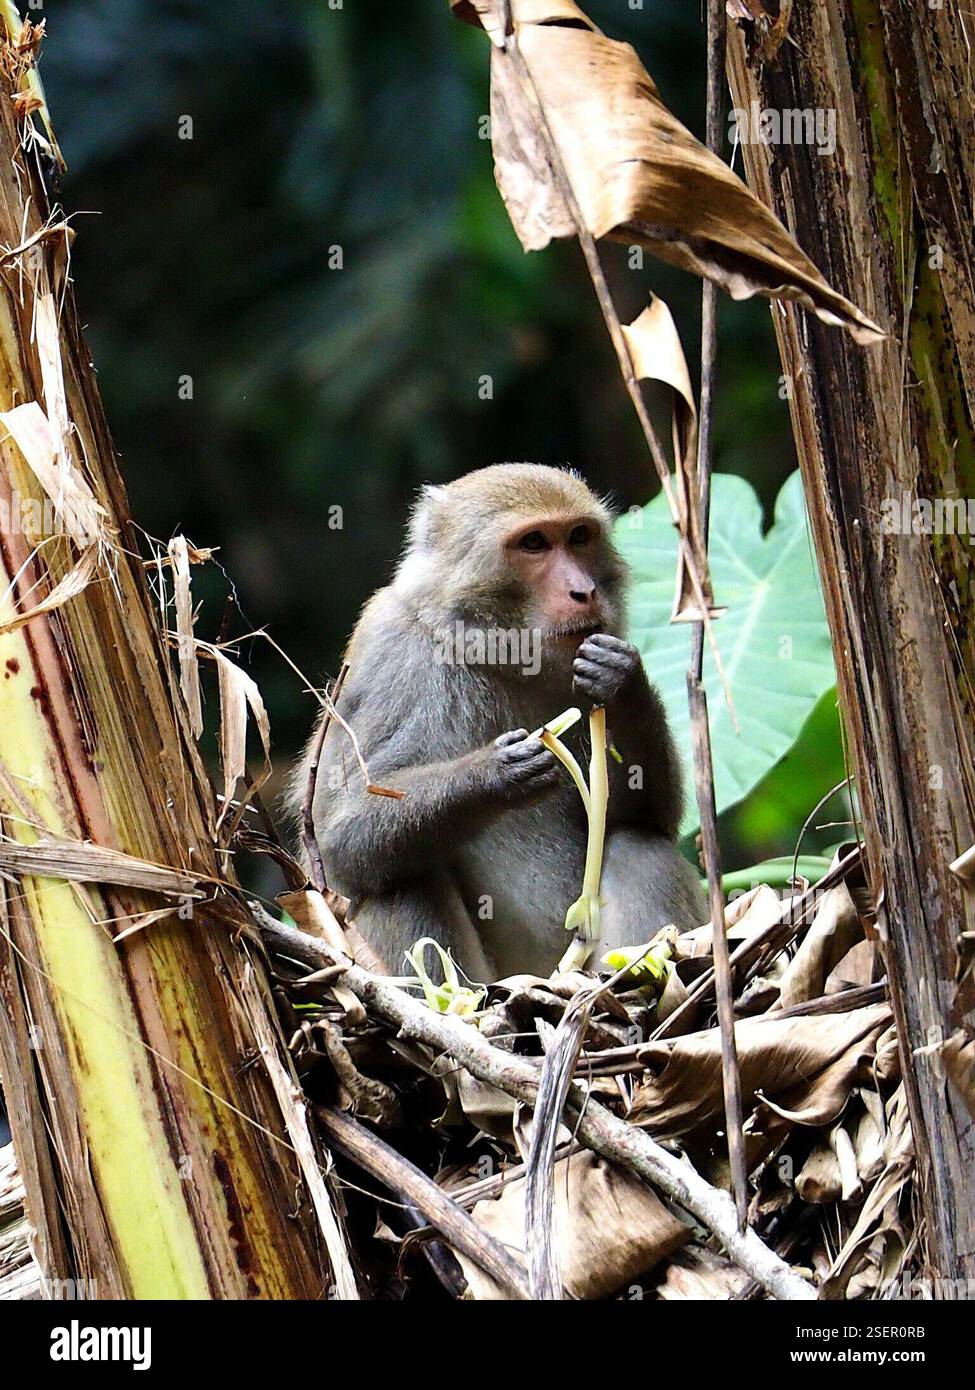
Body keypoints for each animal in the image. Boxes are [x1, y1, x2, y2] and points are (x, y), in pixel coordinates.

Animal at [289, 463, 706, 981]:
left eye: (579, 536)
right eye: (534, 543)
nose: (584, 591)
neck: (499, 651)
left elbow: (645, 814)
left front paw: (621, 680)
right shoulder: (389, 654)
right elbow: (336, 839)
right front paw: (496, 774)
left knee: (641, 847)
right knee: (396, 877)